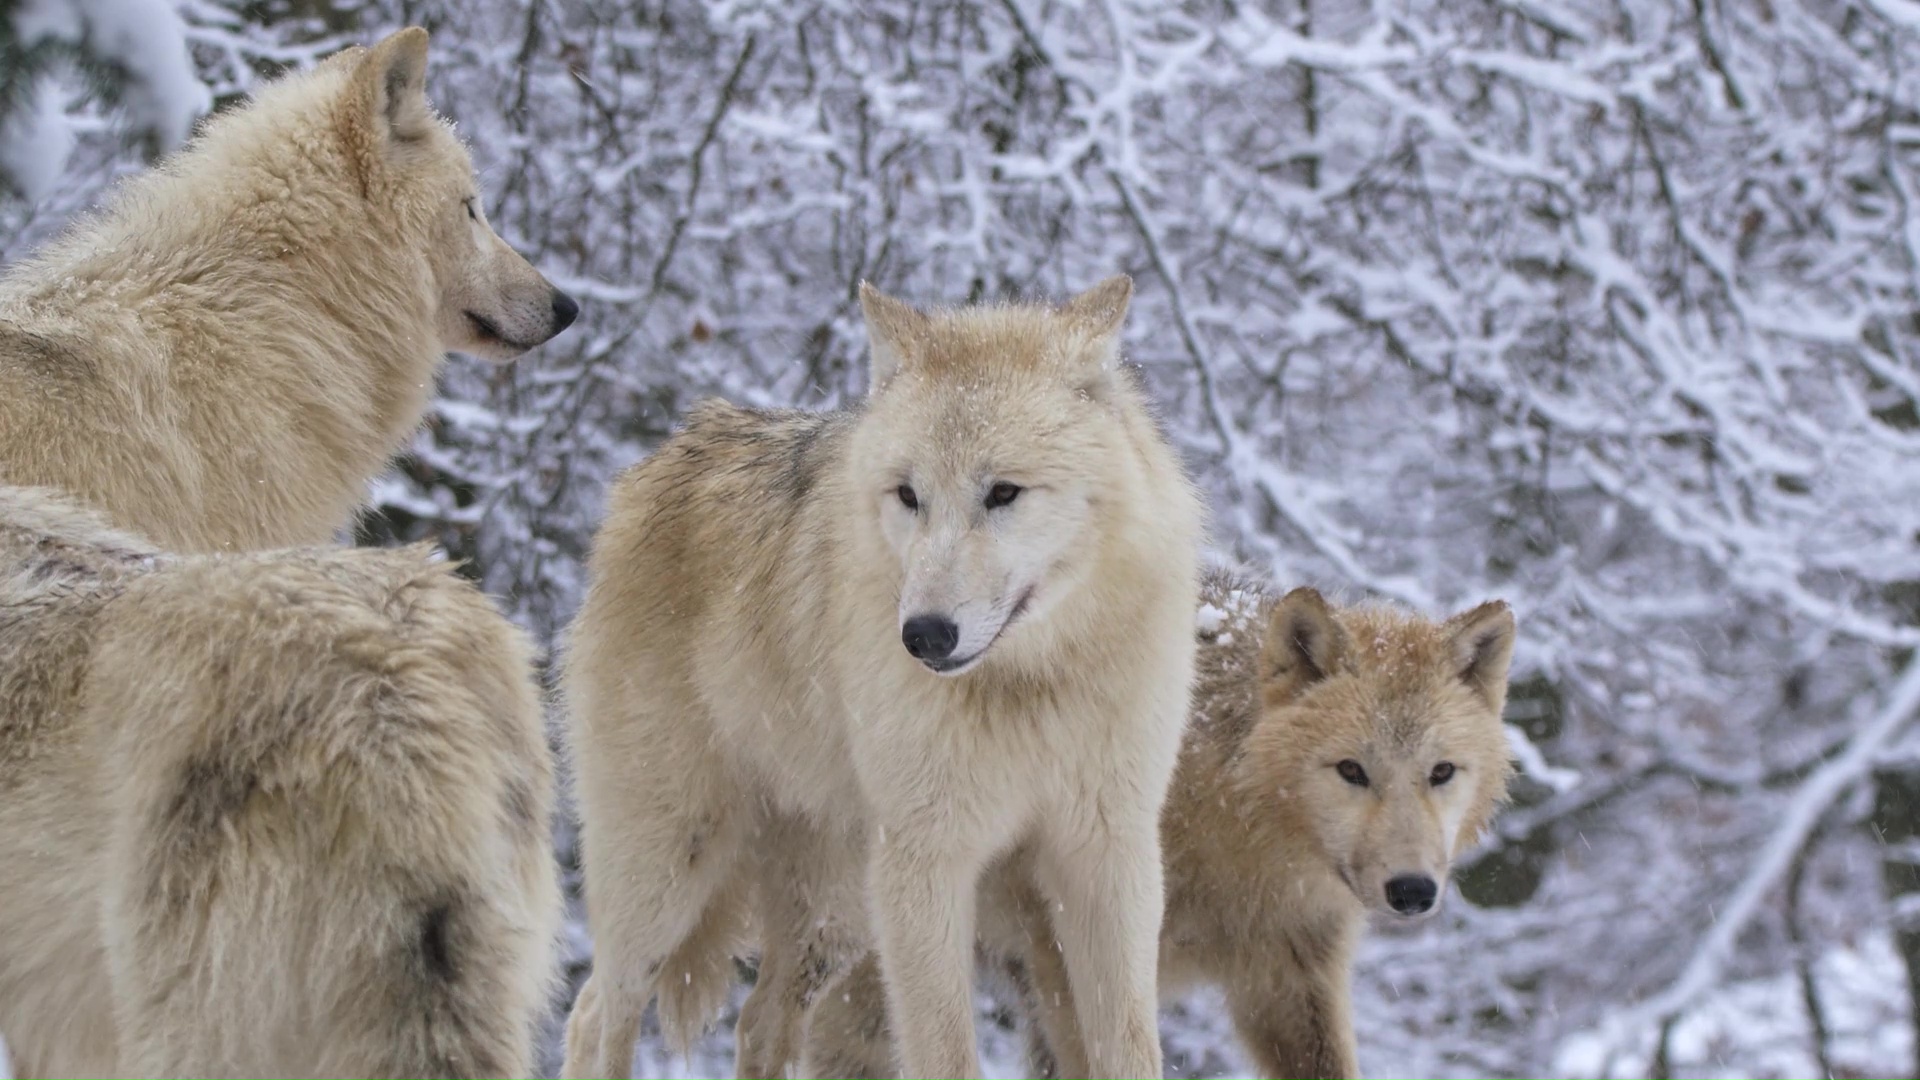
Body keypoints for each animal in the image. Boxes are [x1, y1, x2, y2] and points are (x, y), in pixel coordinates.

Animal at [559, 277, 1204, 1080]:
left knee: (758, 1020)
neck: (1029, 684)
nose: (923, 635)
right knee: (596, 1013)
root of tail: (658, 462)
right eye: (908, 495)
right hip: (674, 866)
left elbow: (1129, 1045)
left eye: (1004, 493)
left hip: (835, 907)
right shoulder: (928, 865)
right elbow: (945, 1053)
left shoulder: (1108, 857)